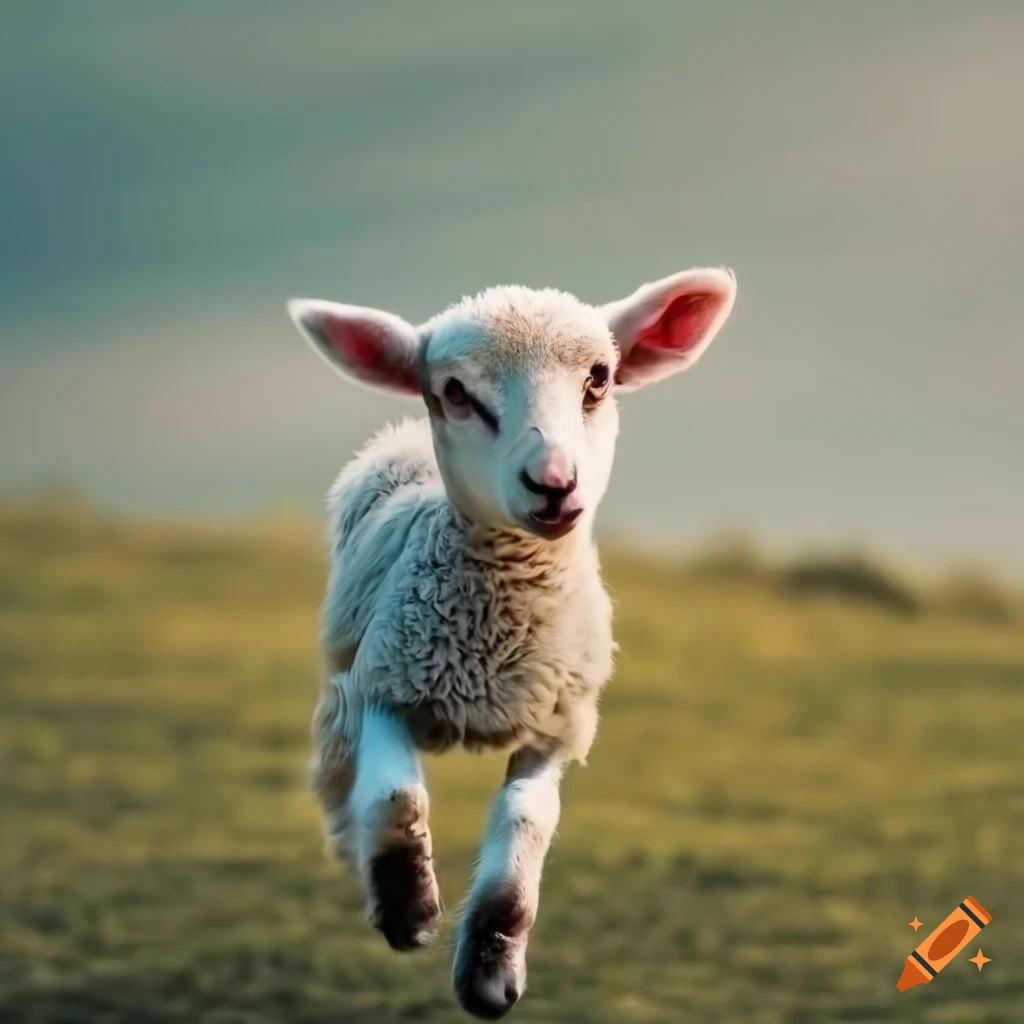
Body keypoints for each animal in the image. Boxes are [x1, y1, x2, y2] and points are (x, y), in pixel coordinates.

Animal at [286, 266, 737, 1019]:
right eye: (456, 392)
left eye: (599, 379)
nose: (554, 483)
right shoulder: (383, 683)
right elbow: (396, 798)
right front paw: (408, 909)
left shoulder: (558, 726)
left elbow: (524, 822)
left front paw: (491, 973)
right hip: (346, 668)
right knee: (342, 767)